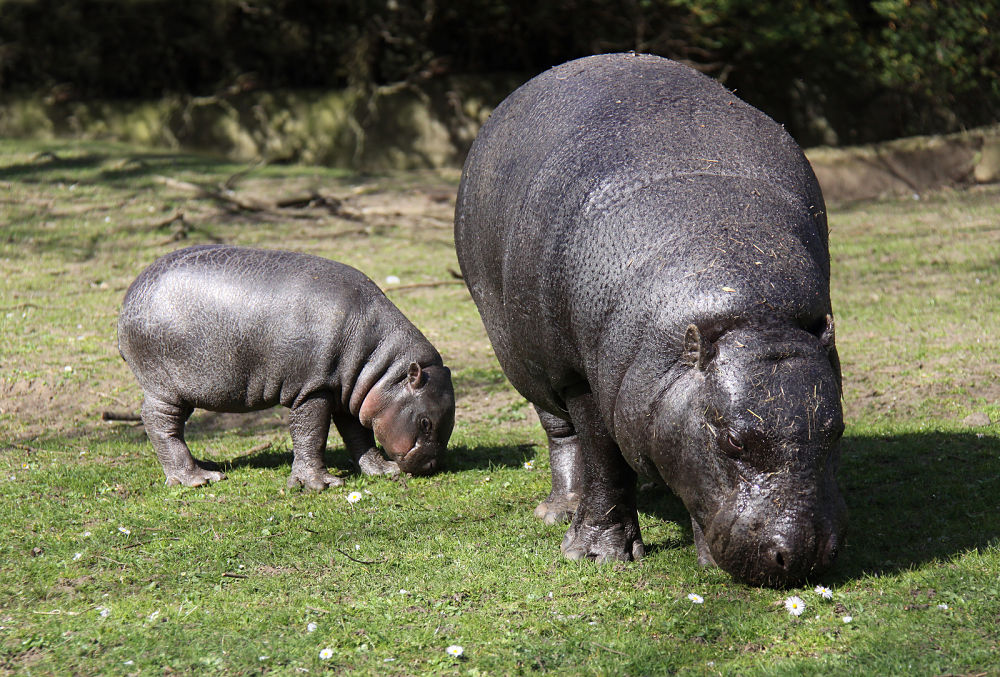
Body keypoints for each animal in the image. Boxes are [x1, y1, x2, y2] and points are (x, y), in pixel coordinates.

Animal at [118, 246, 458, 488]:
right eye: (425, 423)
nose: (431, 467)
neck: (384, 367)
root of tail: (129, 295)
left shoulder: (350, 392)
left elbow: (359, 434)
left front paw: (382, 470)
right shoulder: (312, 387)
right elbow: (311, 433)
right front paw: (321, 484)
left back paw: (205, 468)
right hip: (166, 386)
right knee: (159, 422)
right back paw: (198, 479)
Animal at [458, 52, 848, 584]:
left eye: (838, 430)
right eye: (733, 440)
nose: (803, 553)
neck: (749, 314)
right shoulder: (580, 378)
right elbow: (603, 459)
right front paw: (595, 554)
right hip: (525, 359)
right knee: (560, 433)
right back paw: (560, 510)